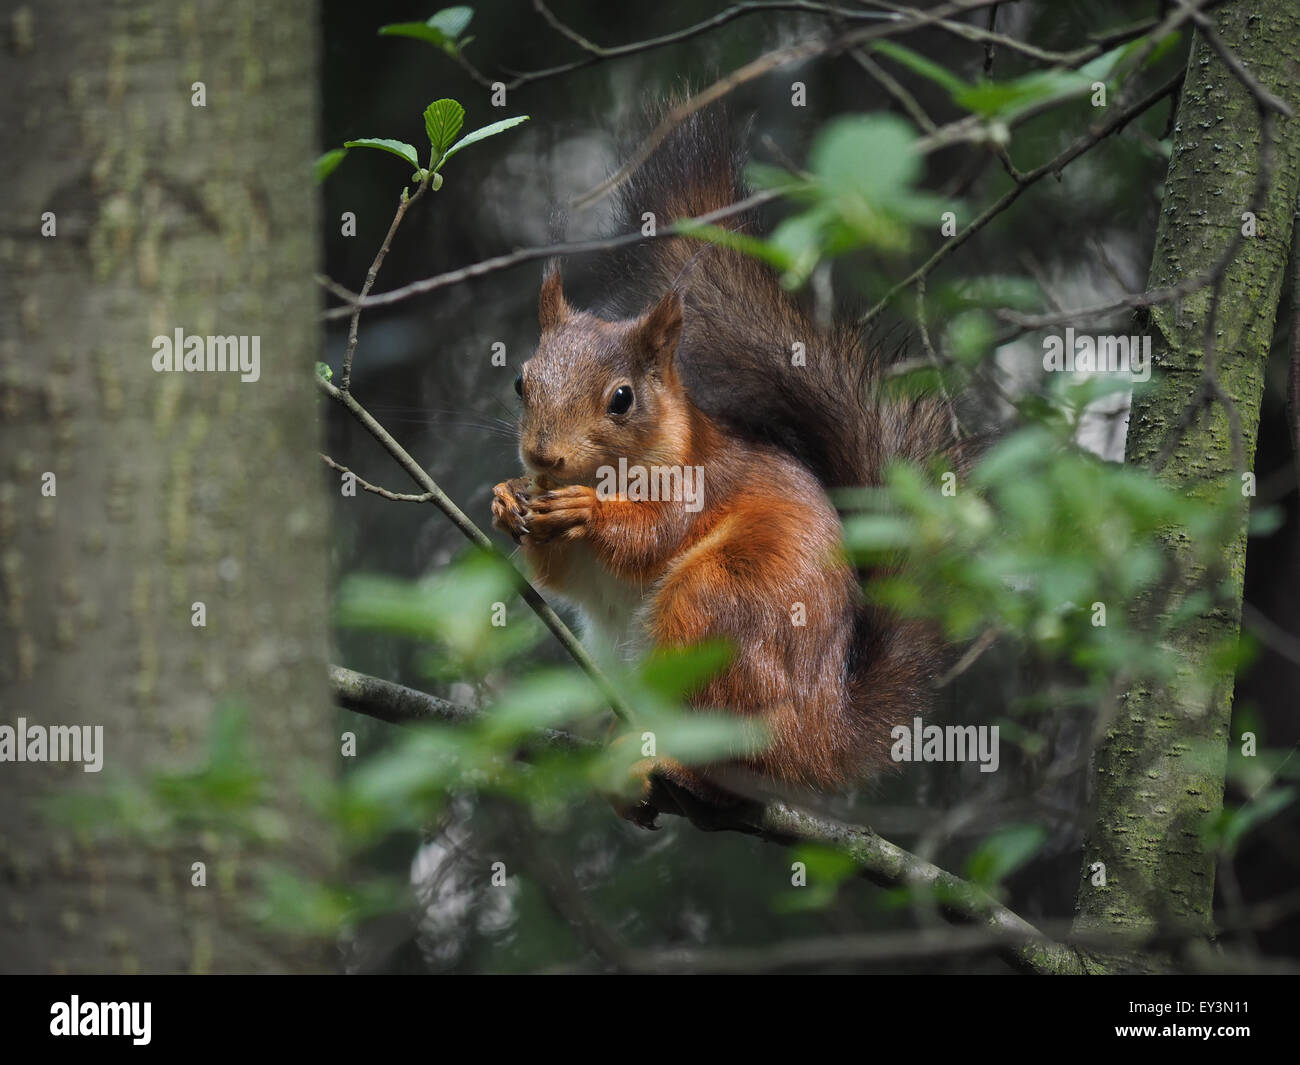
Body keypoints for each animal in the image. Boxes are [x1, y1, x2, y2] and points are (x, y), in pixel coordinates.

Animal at [491, 107, 963, 826]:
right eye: (522, 381)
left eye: (622, 399)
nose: (542, 455)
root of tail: (821, 738)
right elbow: (560, 576)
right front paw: (503, 498)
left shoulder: (699, 482)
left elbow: (650, 535)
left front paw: (586, 510)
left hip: (719, 608)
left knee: (734, 763)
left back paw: (669, 763)